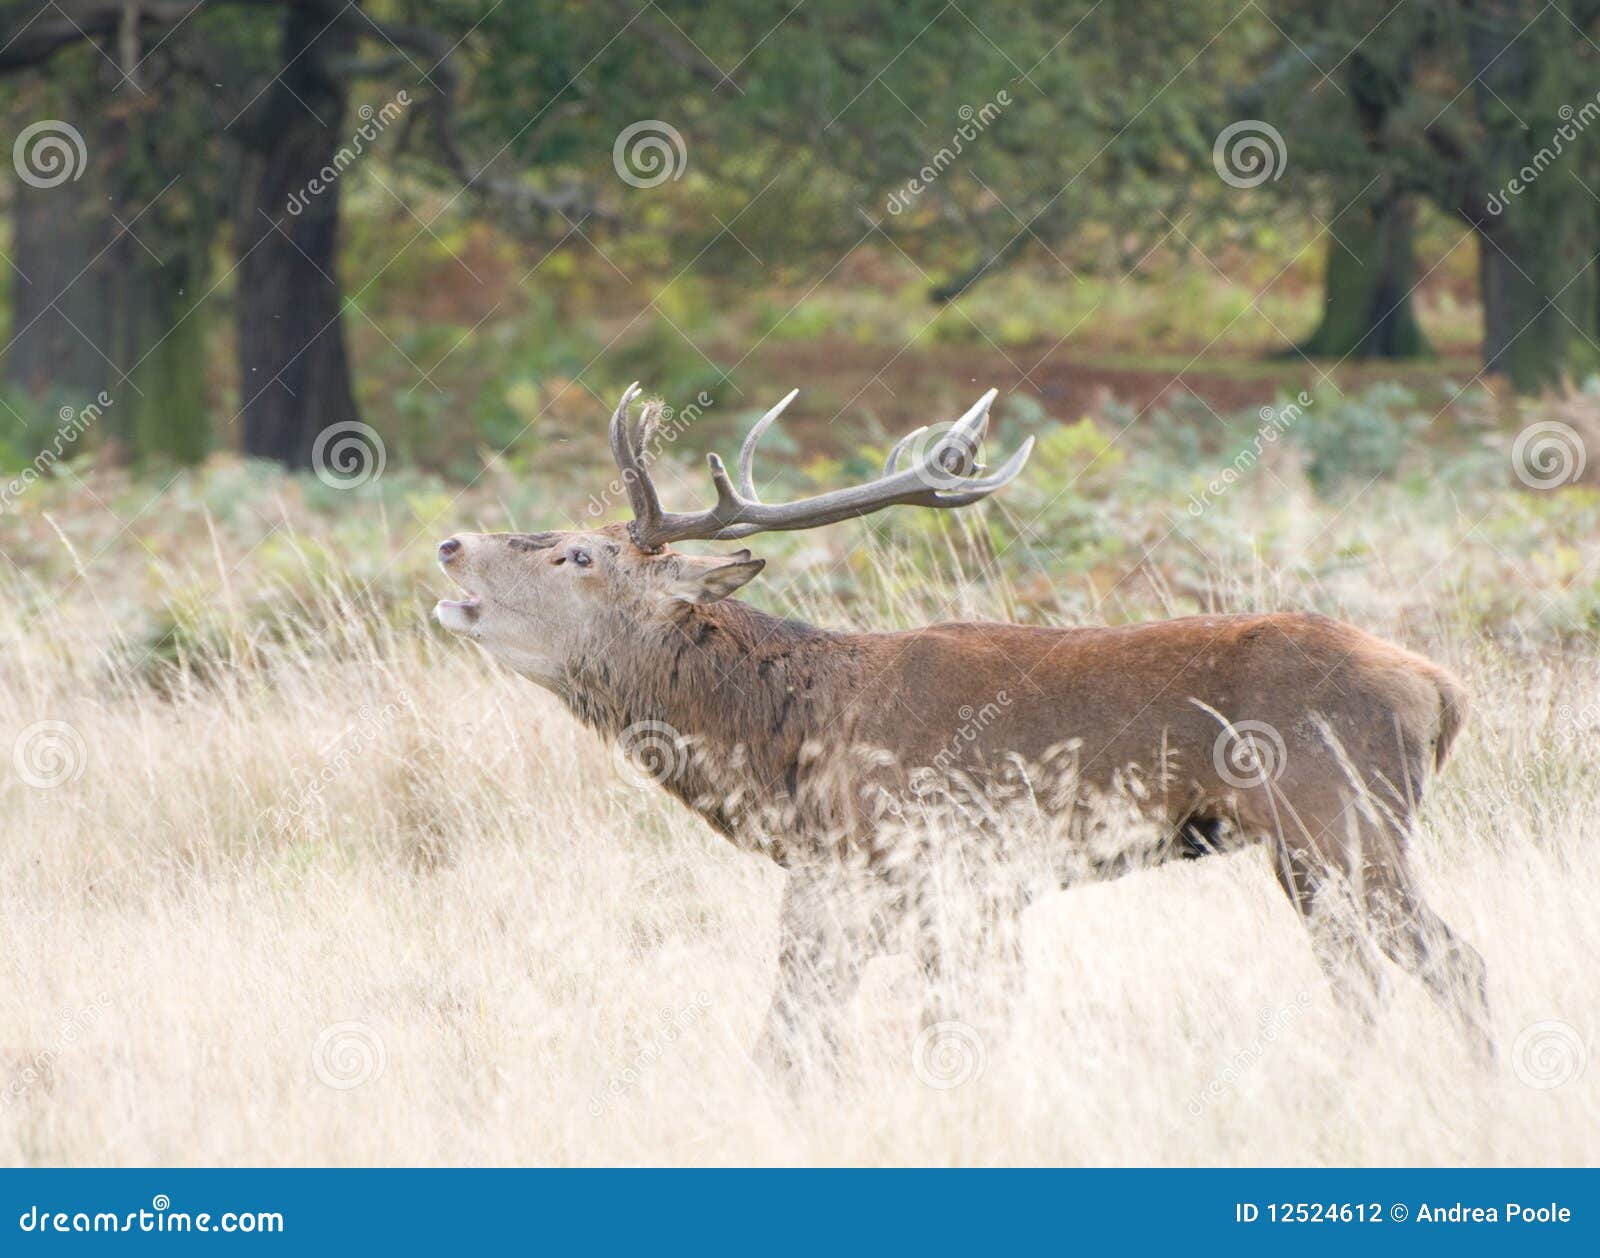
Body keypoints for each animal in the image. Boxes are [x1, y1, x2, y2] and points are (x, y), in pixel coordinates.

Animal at [434, 383, 1490, 1072]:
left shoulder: (903, 863)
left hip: (1342, 815)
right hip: (1303, 853)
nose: (450, 543)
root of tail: (1439, 689)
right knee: (1361, 982)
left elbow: (815, 1034)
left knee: (1454, 961)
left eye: (578, 555)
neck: (788, 747)